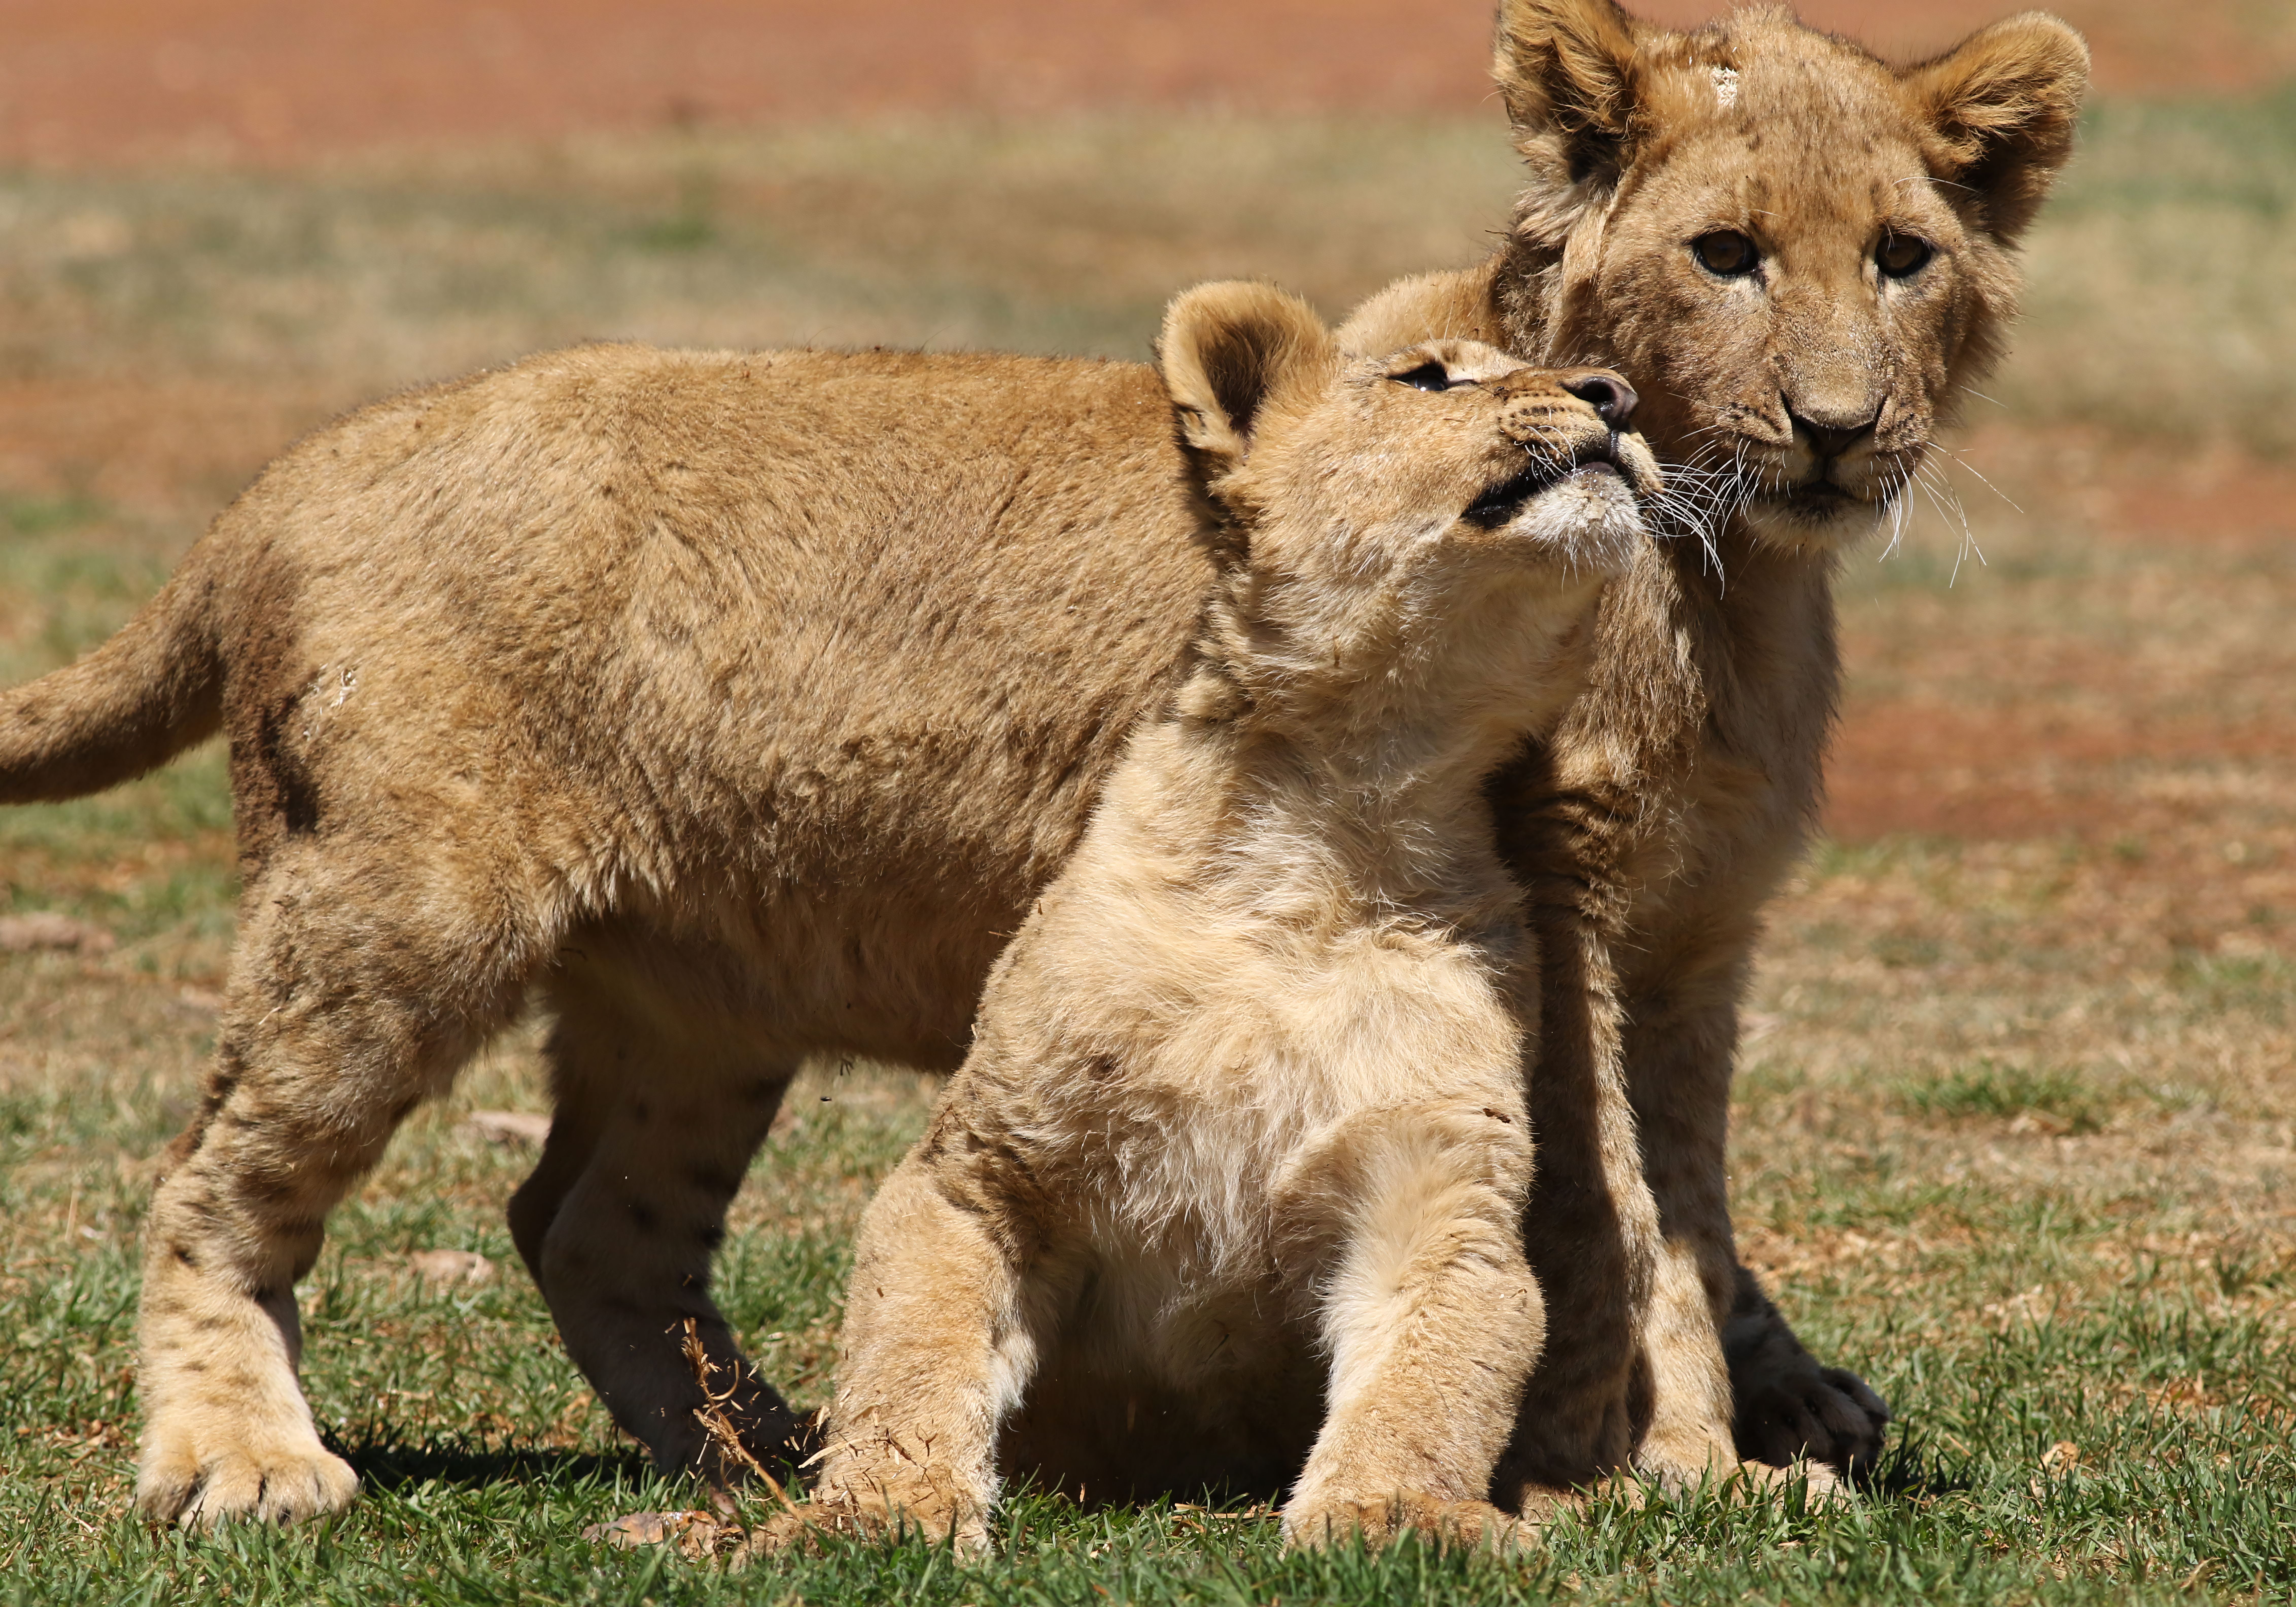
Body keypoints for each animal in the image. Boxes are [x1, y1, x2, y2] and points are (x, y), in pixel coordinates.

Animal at [762, 281, 1657, 1555]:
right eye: (1429, 378)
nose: (1618, 396)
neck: (1335, 828)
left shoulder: (1440, 1190)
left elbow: (1435, 1371)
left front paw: (1387, 1509)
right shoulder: (982, 1167)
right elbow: (909, 1352)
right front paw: (882, 1511)